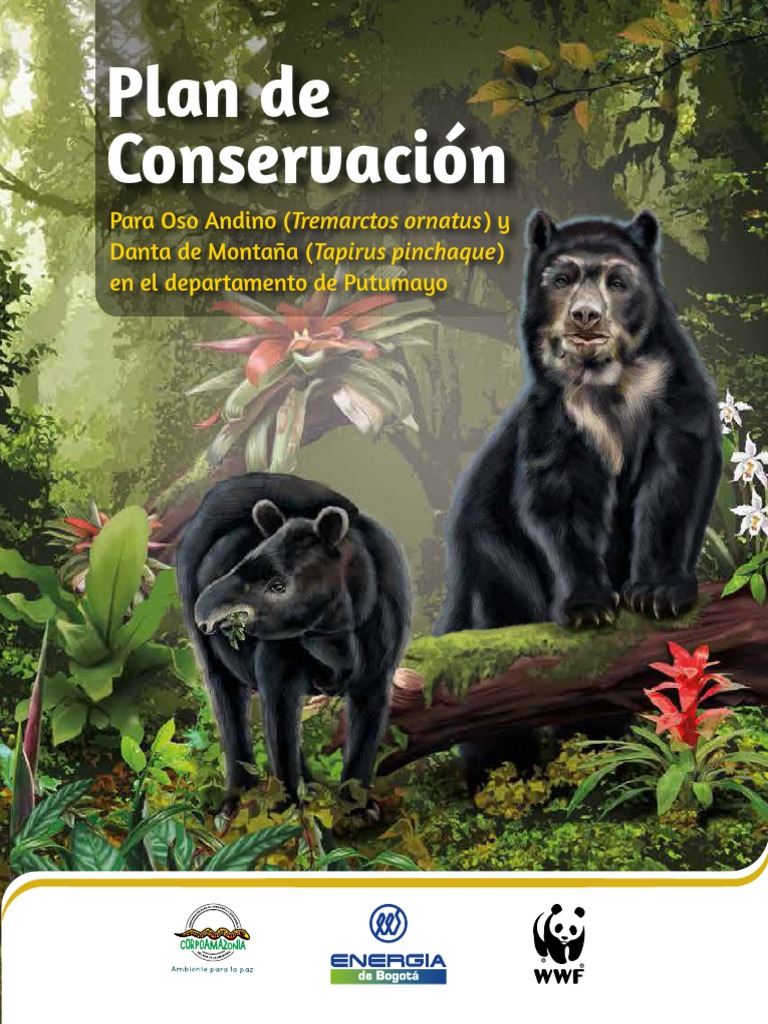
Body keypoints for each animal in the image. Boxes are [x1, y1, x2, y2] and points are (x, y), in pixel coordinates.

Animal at [175, 472, 411, 815]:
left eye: (278, 585)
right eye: (241, 562)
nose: (202, 612)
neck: (333, 635)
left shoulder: (378, 669)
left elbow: (364, 739)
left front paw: (357, 809)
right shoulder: (277, 666)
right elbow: (280, 734)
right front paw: (285, 808)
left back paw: (311, 787)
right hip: (211, 654)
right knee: (228, 704)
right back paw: (237, 802)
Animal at [434, 209, 722, 787]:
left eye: (617, 279)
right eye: (562, 278)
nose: (585, 316)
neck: (606, 383)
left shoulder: (675, 391)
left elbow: (676, 479)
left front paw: (658, 593)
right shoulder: (554, 420)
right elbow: (558, 500)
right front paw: (590, 607)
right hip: (495, 561)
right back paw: (503, 768)